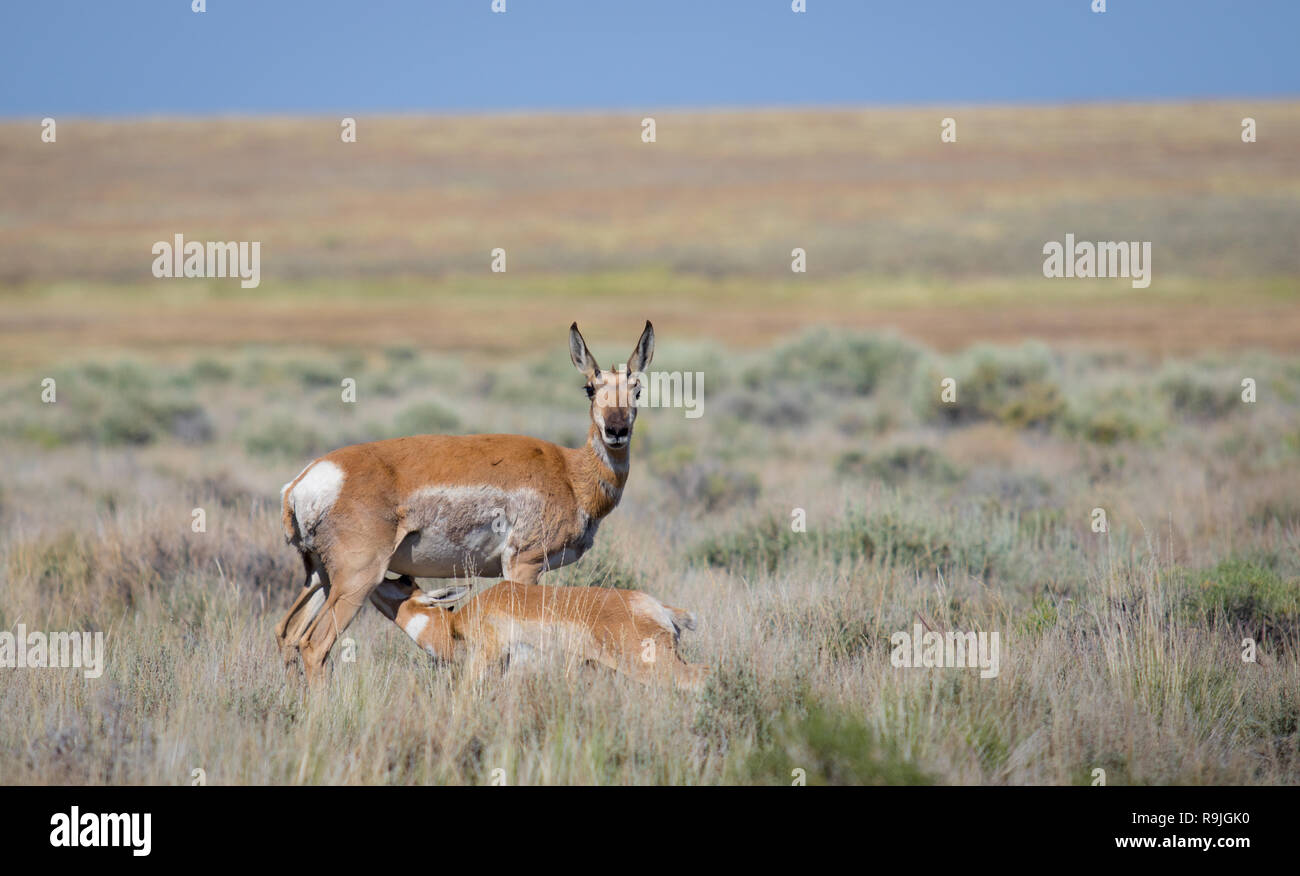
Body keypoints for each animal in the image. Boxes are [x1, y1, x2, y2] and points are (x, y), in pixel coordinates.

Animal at [275, 321, 656, 682]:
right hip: (357, 580)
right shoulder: (525, 565)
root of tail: (306, 479)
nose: (617, 431)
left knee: (288, 633)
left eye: (637, 388)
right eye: (590, 388)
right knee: (314, 645)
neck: (568, 472)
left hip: (321, 577)